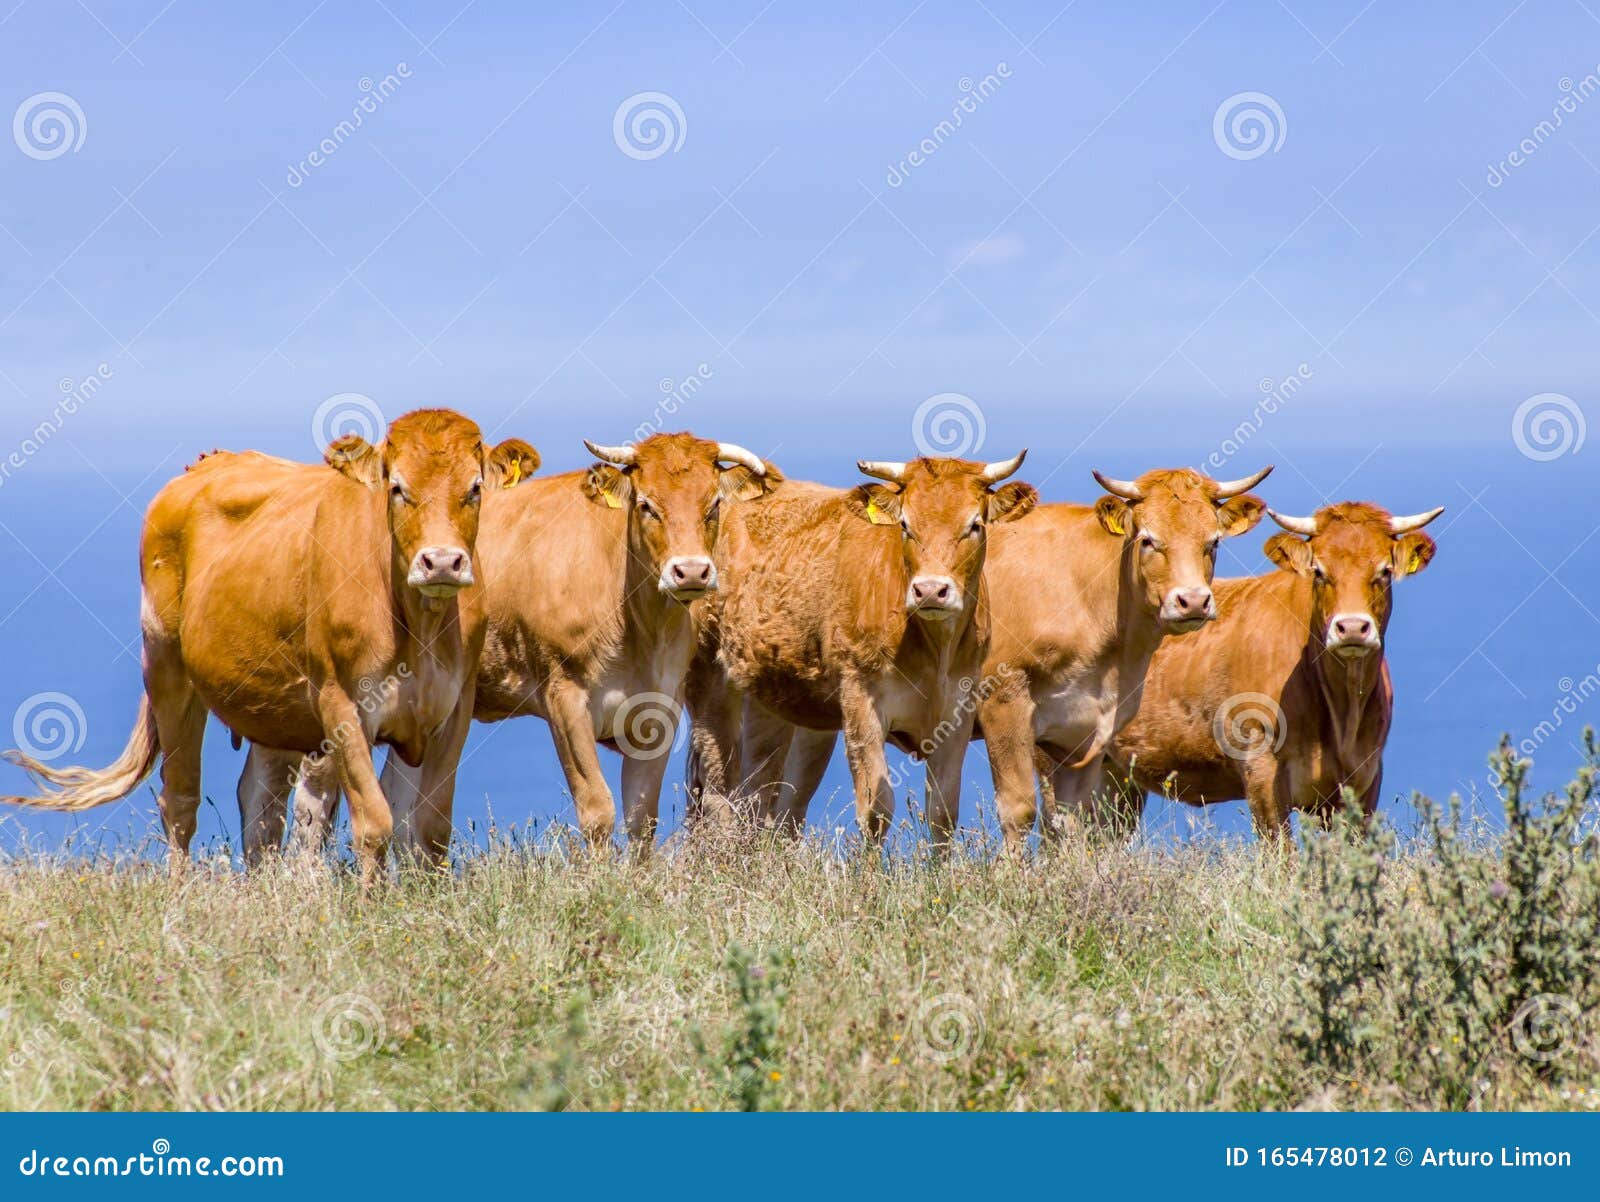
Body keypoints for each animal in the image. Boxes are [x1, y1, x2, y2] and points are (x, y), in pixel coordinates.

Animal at [1, 410, 539, 886]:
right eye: (397, 487)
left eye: (475, 488)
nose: (442, 562)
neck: (419, 629)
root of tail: (206, 463)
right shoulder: (341, 704)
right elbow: (375, 821)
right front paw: (372, 907)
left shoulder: (451, 708)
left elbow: (428, 827)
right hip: (166, 663)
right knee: (180, 798)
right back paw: (177, 896)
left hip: (272, 700)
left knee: (261, 803)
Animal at [243, 432, 783, 857]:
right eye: (647, 504)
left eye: (714, 505)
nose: (690, 571)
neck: (636, 629)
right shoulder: (563, 697)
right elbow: (597, 810)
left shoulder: (659, 711)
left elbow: (640, 819)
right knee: (307, 806)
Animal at [686, 452, 1036, 844]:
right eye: (905, 525)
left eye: (974, 525)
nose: (931, 590)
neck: (935, 650)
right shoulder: (860, 700)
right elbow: (875, 809)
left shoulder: (957, 710)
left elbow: (942, 813)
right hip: (708, 681)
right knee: (718, 795)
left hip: (769, 702)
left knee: (760, 796)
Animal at [746, 466, 1272, 848]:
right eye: (1148, 539)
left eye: (1213, 542)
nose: (1192, 601)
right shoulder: (1005, 701)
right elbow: (1021, 808)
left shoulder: (1084, 730)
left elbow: (1077, 824)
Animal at [1104, 501, 1443, 844]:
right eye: (1318, 572)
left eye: (1384, 571)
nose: (1351, 627)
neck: (1343, 716)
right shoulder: (1262, 770)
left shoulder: (1366, 778)